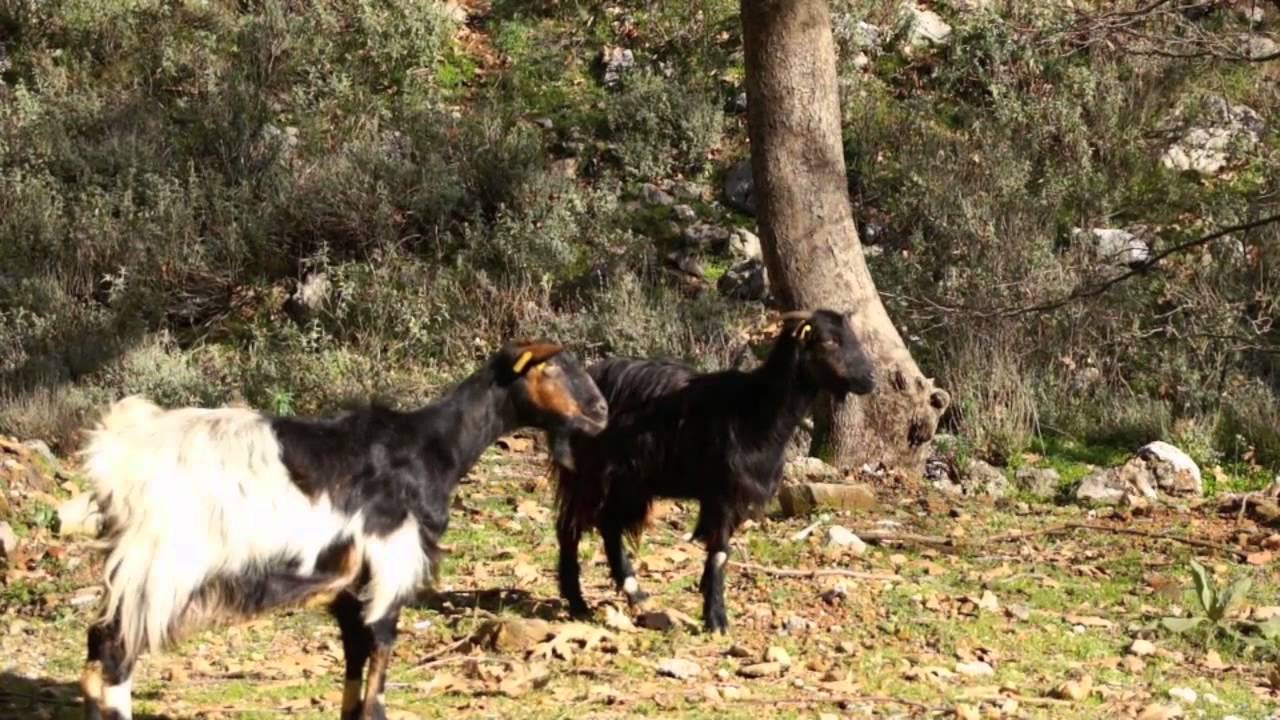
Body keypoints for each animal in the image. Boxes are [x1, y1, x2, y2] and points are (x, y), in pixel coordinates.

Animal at [79, 341, 607, 720]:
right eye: (550, 369)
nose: (601, 411)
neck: (428, 447)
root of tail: (117, 454)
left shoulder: (351, 582)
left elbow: (354, 663)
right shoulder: (393, 560)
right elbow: (379, 660)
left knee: (95, 649)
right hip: (162, 566)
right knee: (115, 651)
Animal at [552, 309, 875, 633]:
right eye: (829, 340)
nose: (870, 378)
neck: (756, 408)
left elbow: (719, 554)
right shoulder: (722, 493)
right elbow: (719, 553)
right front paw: (717, 618)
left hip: (629, 483)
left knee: (608, 525)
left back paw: (633, 593)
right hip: (591, 473)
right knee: (570, 527)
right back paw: (578, 602)